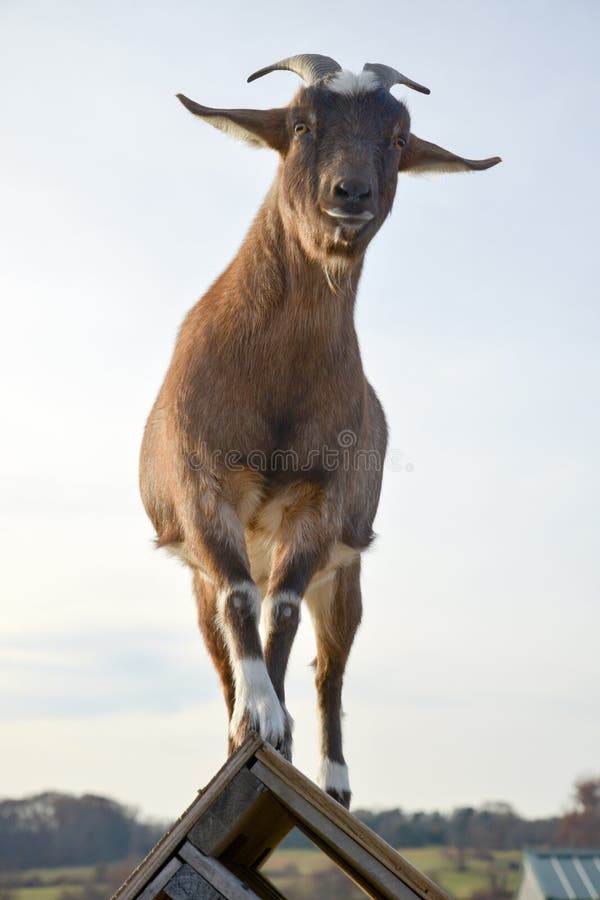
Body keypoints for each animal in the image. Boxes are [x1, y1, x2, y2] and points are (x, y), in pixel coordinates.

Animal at [140, 54, 500, 807]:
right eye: (300, 123)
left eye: (398, 138)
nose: (351, 192)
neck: (275, 385)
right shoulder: (201, 485)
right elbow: (243, 601)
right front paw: (256, 721)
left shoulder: (318, 503)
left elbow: (281, 611)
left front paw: (275, 728)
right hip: (202, 572)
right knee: (223, 641)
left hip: (347, 569)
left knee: (330, 665)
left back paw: (333, 783)